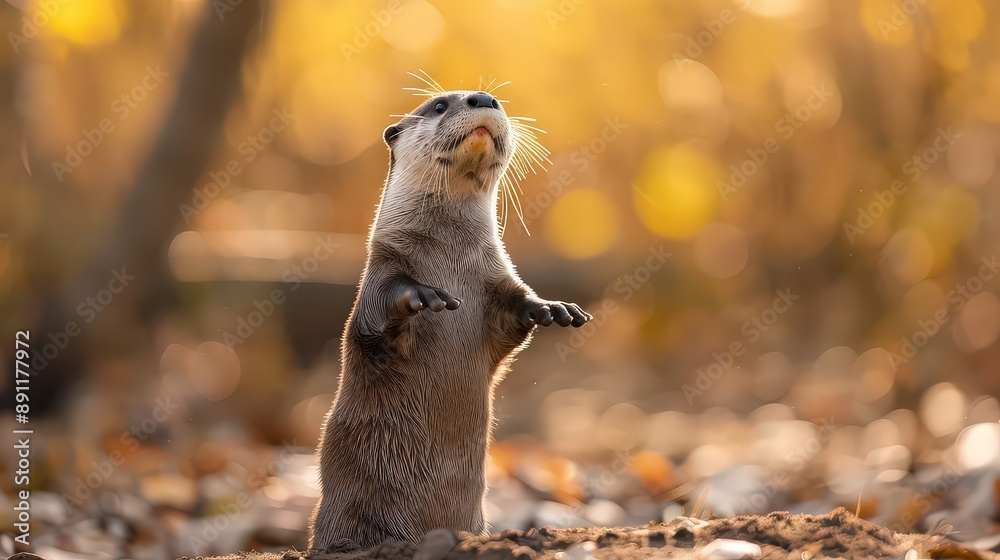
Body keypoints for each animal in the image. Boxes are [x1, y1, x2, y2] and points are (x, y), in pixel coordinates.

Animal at [308, 78, 592, 550]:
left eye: (498, 101)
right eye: (440, 105)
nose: (484, 99)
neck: (449, 258)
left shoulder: (497, 279)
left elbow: (515, 310)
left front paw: (552, 307)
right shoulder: (379, 272)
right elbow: (377, 315)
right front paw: (424, 295)